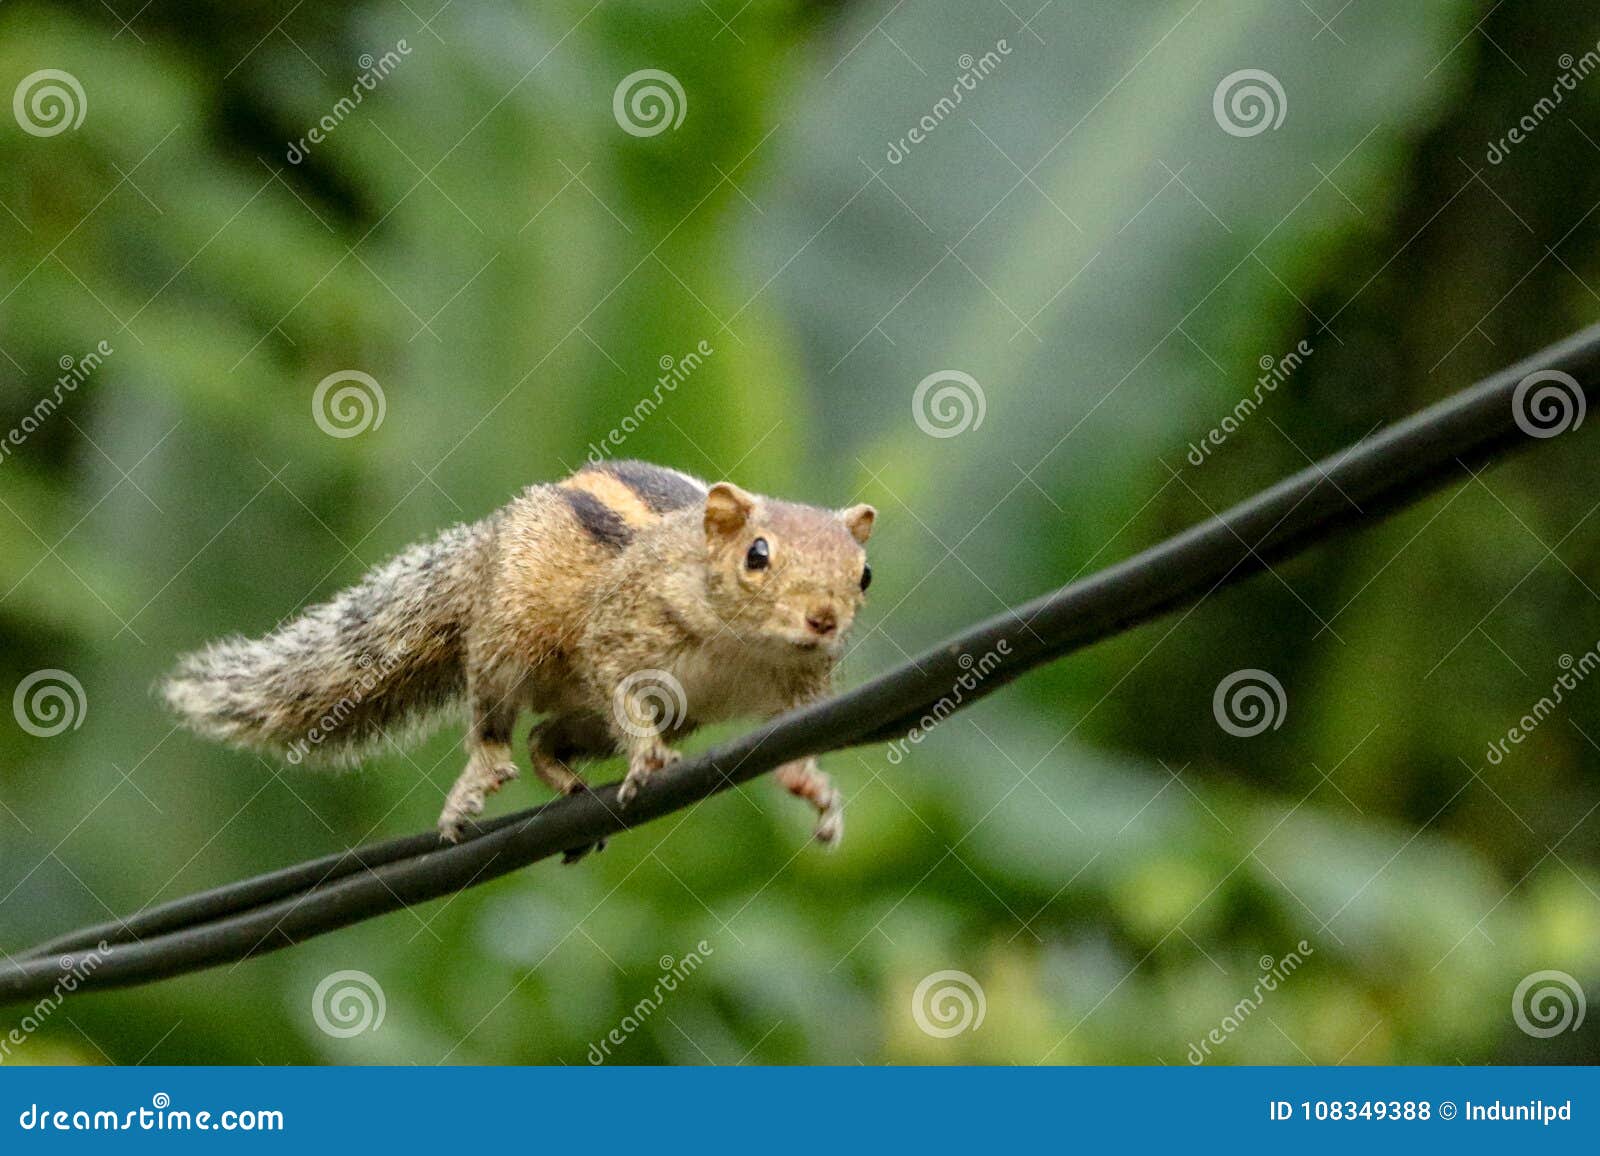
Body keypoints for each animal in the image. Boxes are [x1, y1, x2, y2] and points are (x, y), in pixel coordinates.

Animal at [162, 460, 876, 849]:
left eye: (864, 574)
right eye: (758, 555)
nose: (823, 619)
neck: (742, 644)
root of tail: (490, 544)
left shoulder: (798, 688)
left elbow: (795, 736)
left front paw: (809, 784)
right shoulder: (623, 628)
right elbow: (618, 680)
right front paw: (647, 755)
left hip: (635, 716)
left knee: (545, 738)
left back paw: (563, 779)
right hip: (507, 644)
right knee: (497, 725)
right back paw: (481, 775)